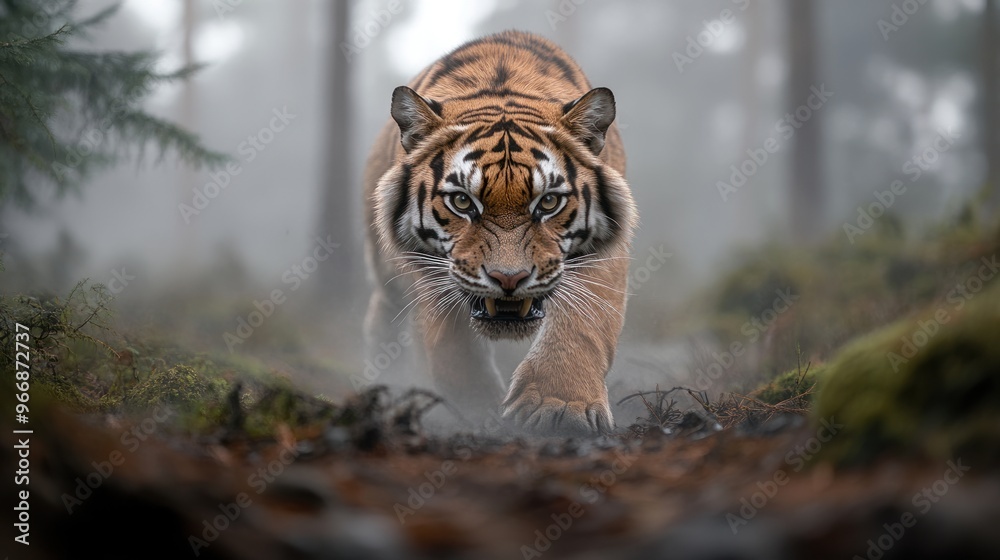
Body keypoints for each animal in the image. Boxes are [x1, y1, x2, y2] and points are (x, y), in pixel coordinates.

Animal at [363, 30, 637, 435]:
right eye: (462, 201)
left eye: (548, 202)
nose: (509, 278)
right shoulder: (428, 269)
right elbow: (451, 346)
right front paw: (482, 409)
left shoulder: (605, 252)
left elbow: (583, 323)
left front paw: (559, 406)